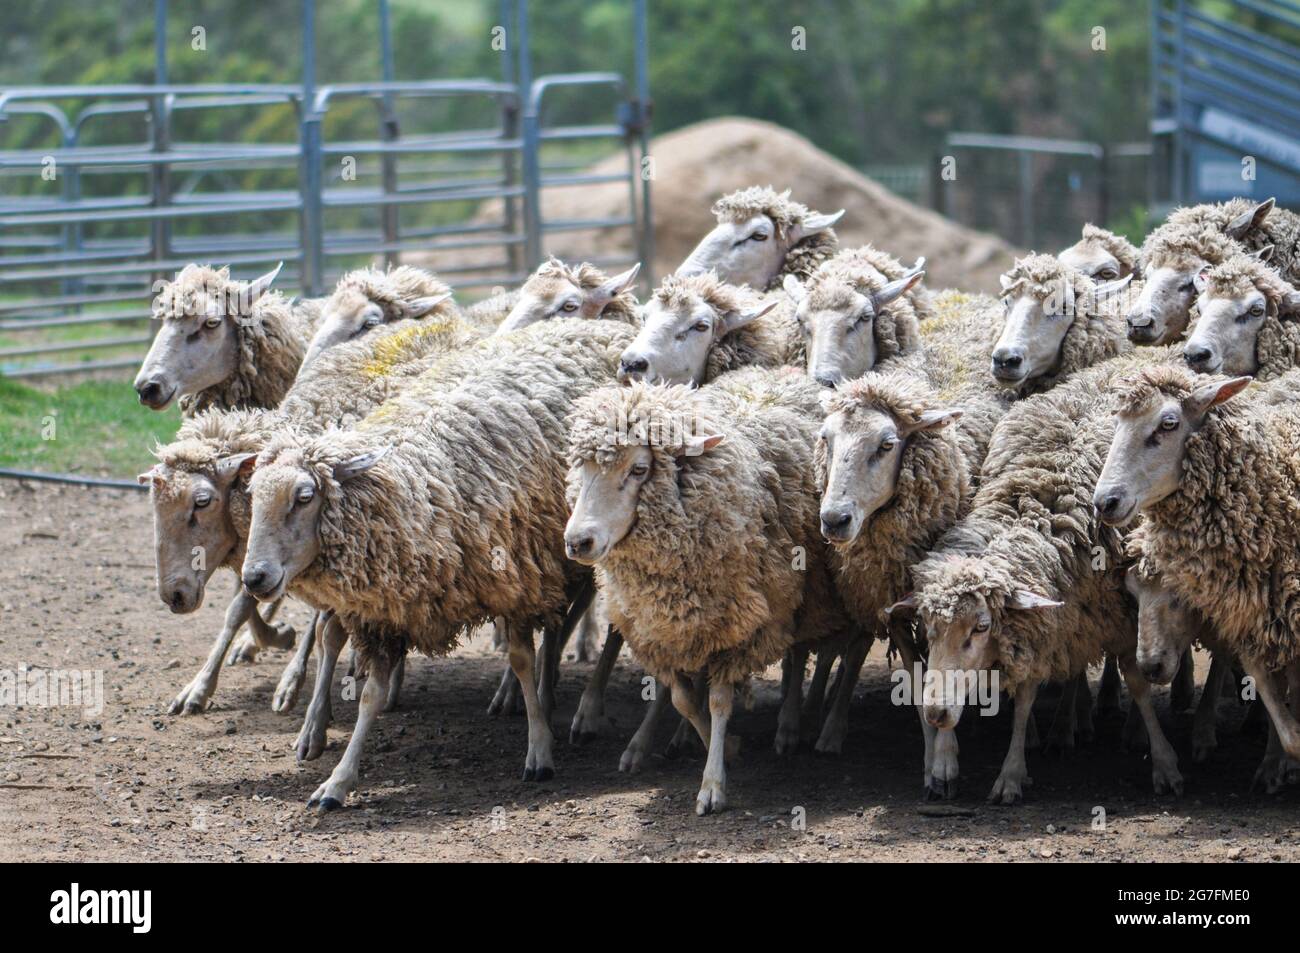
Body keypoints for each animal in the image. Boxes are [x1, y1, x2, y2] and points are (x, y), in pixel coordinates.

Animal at [238, 319, 636, 809]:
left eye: (304, 496)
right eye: (253, 498)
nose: (254, 577)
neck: (415, 488)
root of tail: (603, 323)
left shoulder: (514, 581)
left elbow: (522, 658)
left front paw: (539, 749)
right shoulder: (384, 615)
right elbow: (370, 696)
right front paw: (337, 782)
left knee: (609, 625)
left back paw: (580, 709)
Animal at [564, 366, 849, 814]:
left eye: (639, 469)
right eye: (584, 469)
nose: (578, 542)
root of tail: (779, 371)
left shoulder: (741, 630)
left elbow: (718, 702)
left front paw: (714, 780)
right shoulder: (660, 632)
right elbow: (683, 698)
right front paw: (724, 744)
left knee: (823, 652)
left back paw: (799, 723)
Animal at [897, 349, 1185, 804]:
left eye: (981, 627)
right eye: (927, 628)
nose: (936, 711)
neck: (1032, 513)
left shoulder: (1117, 615)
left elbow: (1137, 683)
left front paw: (1164, 764)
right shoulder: (1047, 619)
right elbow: (1027, 694)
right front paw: (1006, 769)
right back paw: (1064, 728)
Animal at [1094, 364, 1300, 792]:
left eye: (1168, 423)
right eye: (1116, 423)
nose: (1104, 502)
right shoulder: (1255, 624)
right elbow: (1290, 730)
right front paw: (1278, 763)